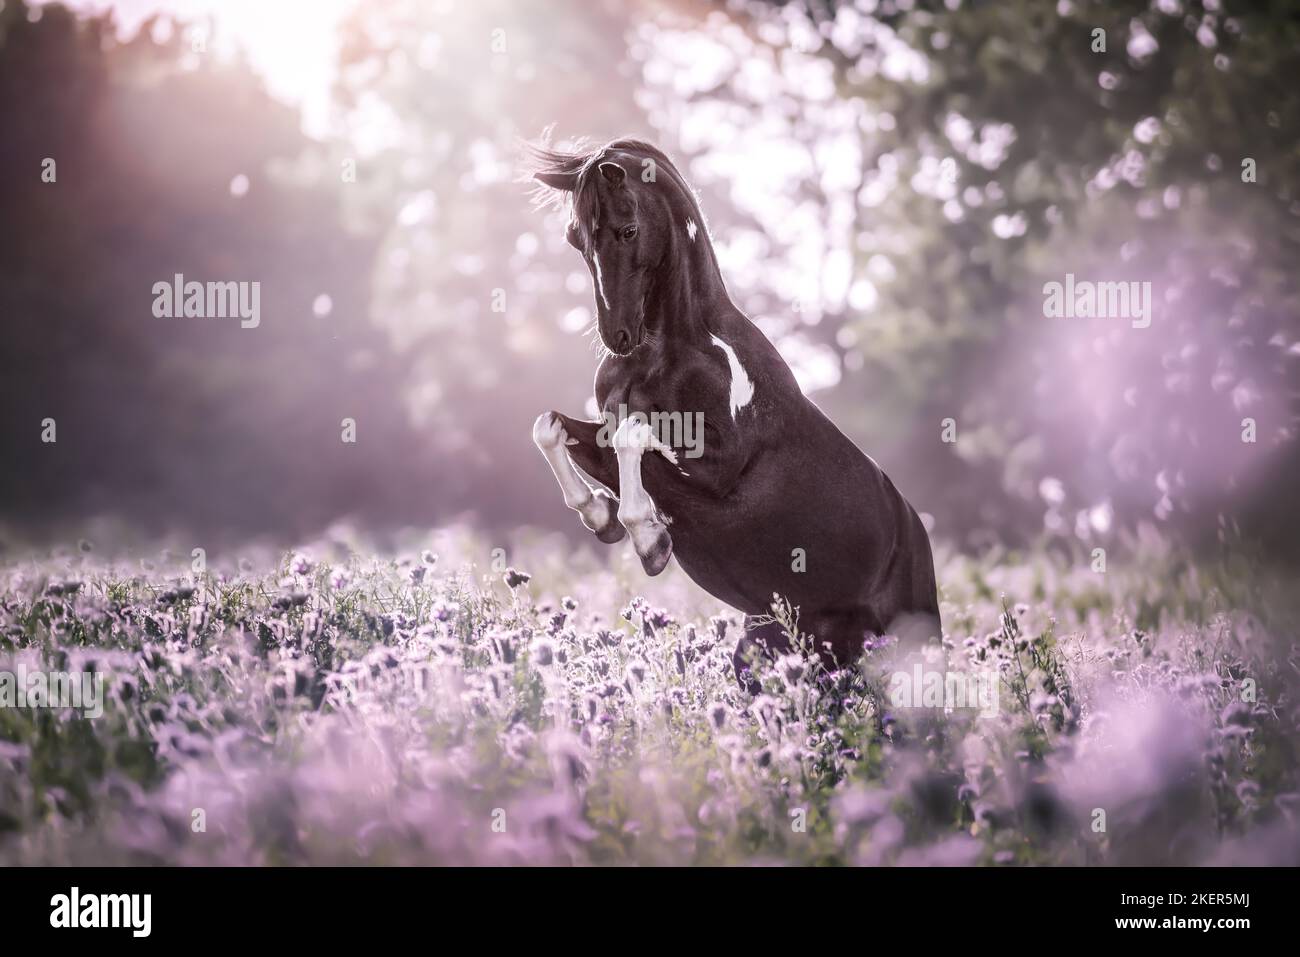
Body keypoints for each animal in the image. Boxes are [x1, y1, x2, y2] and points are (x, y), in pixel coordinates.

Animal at [526, 137, 941, 686]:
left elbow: (633, 436)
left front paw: (650, 541)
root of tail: (915, 534)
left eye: (627, 229)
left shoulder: (720, 468)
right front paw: (603, 516)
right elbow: (549, 427)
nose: (617, 337)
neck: (674, 350)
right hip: (775, 648)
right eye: (575, 239)